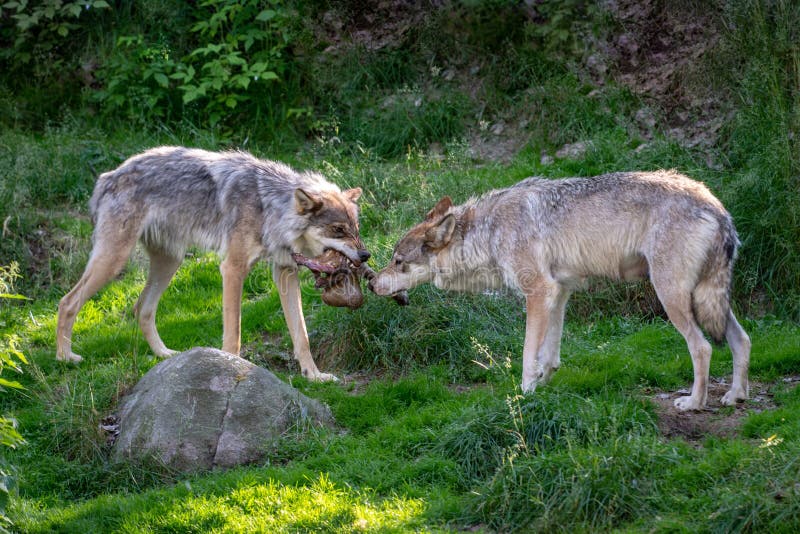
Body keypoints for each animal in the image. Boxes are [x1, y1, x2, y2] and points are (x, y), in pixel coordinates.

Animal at [56, 146, 370, 381]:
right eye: (338, 230)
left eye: (356, 229)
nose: (365, 256)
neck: (269, 205)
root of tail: (108, 175)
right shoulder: (232, 269)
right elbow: (234, 334)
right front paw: (233, 370)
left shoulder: (285, 272)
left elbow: (301, 335)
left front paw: (314, 375)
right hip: (114, 261)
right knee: (67, 302)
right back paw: (65, 358)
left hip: (170, 262)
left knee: (141, 308)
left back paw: (164, 355)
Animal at [370, 170, 751, 411]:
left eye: (399, 262)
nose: (372, 281)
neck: (487, 232)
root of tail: (718, 208)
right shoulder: (560, 292)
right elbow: (549, 355)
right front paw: (543, 386)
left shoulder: (538, 292)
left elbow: (528, 354)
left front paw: (524, 394)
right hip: (706, 299)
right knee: (742, 339)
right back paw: (735, 396)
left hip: (671, 296)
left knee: (702, 347)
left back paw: (694, 403)